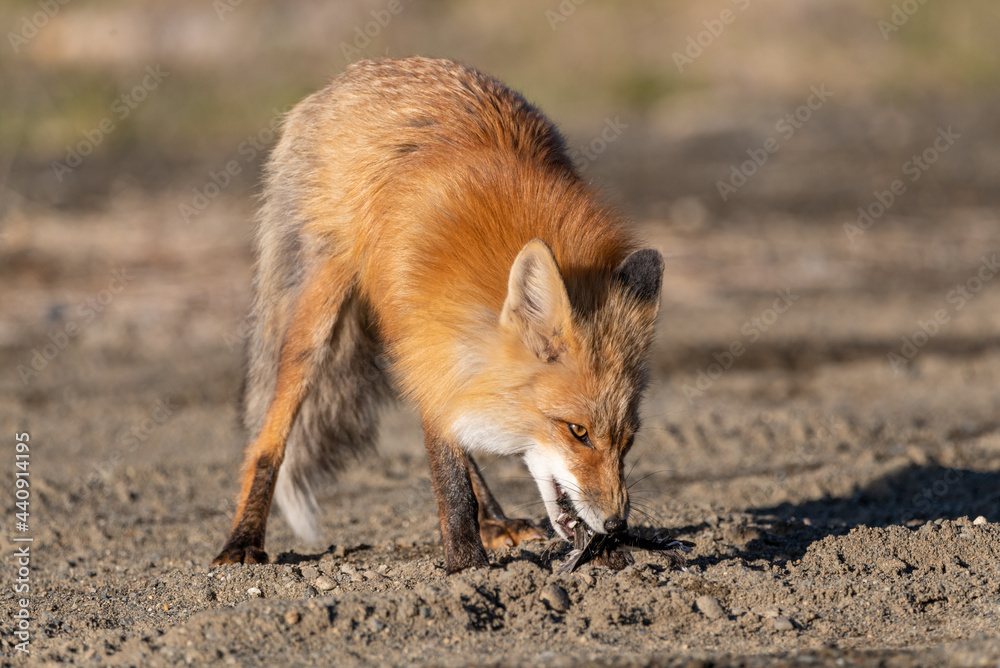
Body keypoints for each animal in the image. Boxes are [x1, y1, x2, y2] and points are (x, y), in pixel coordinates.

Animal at [212, 57, 664, 574]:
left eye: (628, 440)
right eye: (578, 432)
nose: (616, 524)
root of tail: (355, 73)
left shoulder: (444, 350)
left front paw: (606, 554)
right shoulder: (428, 333)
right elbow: (450, 479)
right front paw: (466, 565)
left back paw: (496, 521)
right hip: (318, 315)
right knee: (266, 439)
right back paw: (243, 540)